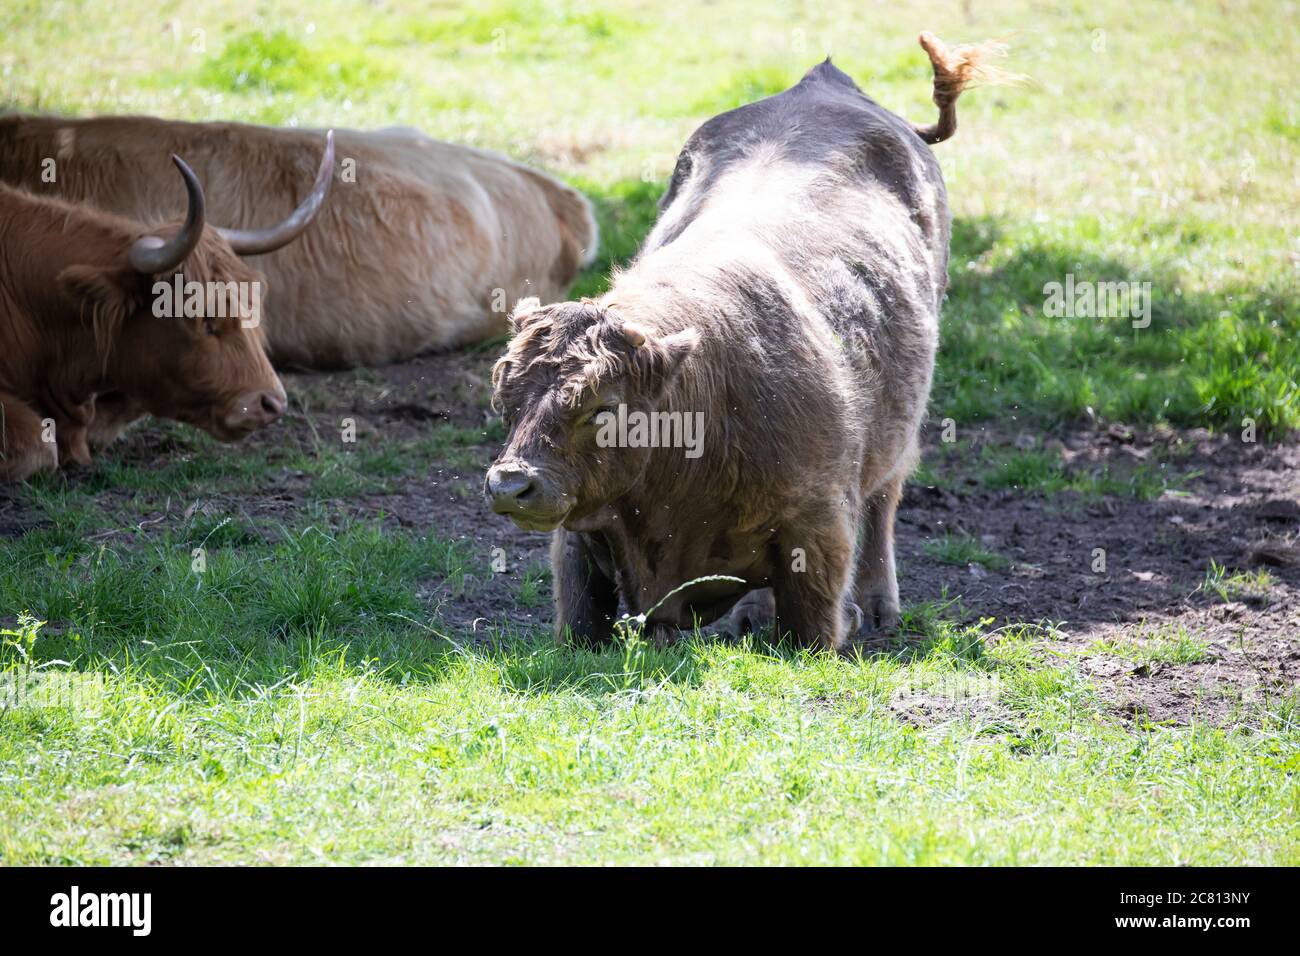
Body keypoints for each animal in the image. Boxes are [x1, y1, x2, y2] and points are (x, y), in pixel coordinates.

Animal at [485, 34, 998, 651]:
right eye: (505, 403)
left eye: (603, 409)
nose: (510, 486)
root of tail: (829, 86)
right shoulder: (580, 549)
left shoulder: (818, 529)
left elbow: (813, 620)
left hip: (896, 442)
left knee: (883, 506)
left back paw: (877, 607)